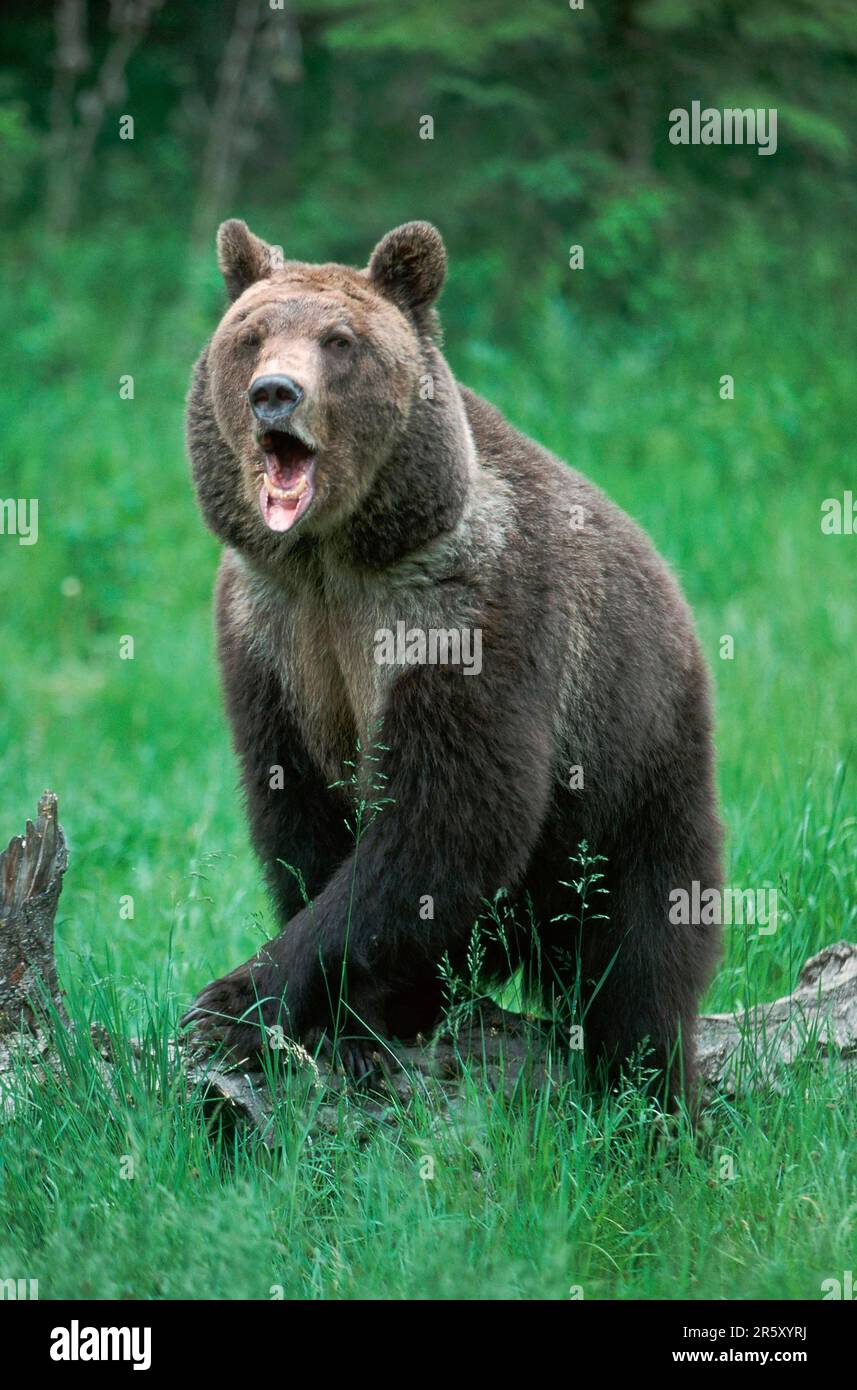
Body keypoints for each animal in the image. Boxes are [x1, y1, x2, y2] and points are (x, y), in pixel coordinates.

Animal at [182, 218, 723, 1105]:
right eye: (250, 335)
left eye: (340, 341)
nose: (274, 393)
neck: (334, 557)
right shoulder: (271, 637)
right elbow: (297, 814)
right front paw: (349, 1020)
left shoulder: (466, 614)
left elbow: (448, 816)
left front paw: (237, 1001)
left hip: (632, 768)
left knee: (641, 958)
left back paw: (651, 1101)